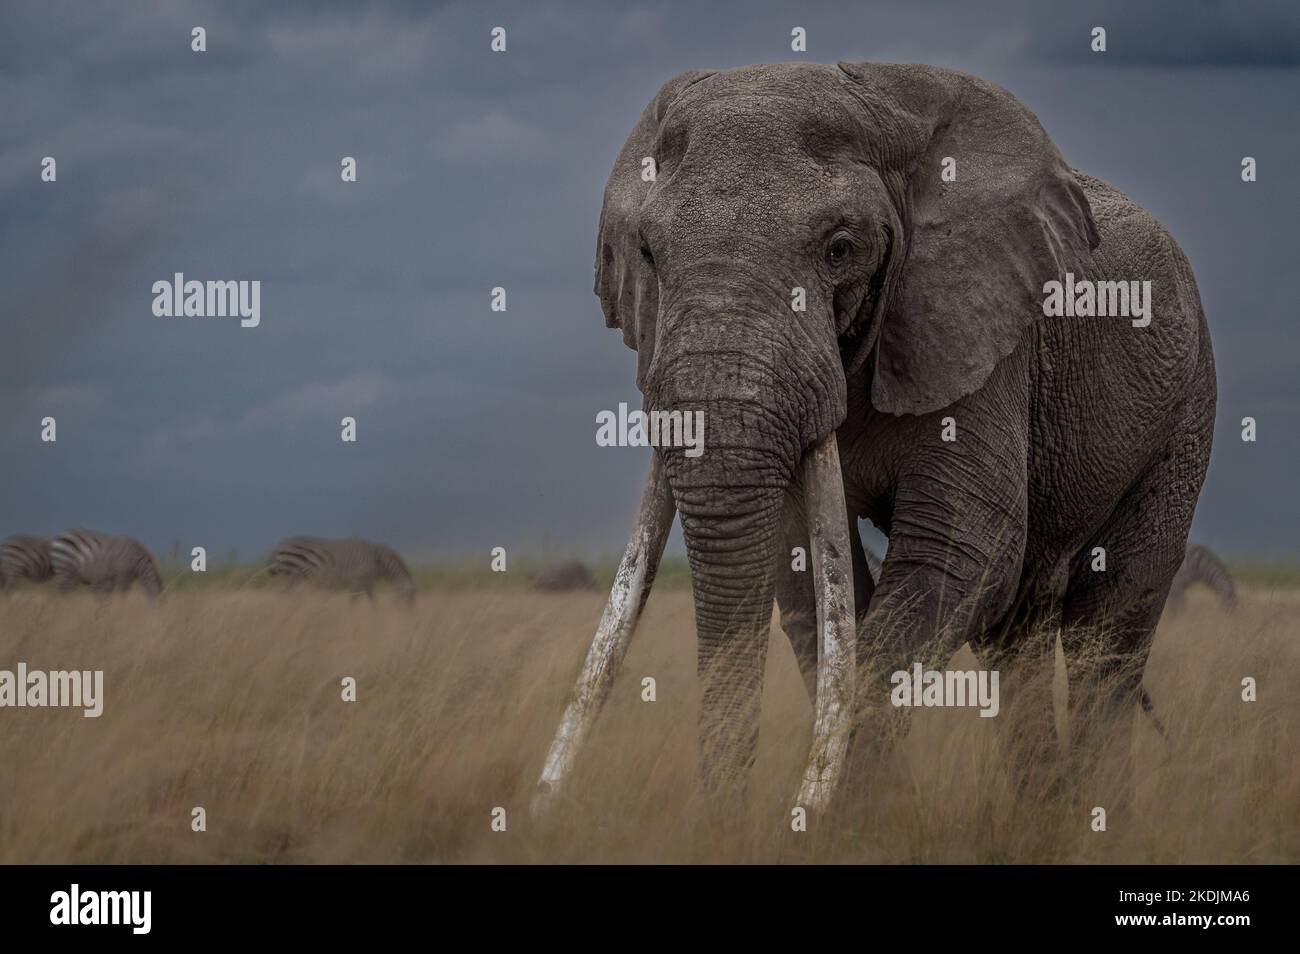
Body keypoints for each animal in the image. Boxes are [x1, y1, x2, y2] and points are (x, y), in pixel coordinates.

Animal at [267, 536, 416, 602]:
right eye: (410, 600)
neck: (377, 560)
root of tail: (279, 546)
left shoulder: (367, 582)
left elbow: (373, 601)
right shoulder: (359, 579)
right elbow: (354, 601)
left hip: (294, 578)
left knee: (287, 595)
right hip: (292, 575)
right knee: (285, 595)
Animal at [535, 62, 1215, 816]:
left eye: (841, 249)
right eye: (649, 254)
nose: (723, 820)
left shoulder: (984, 334)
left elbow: (959, 550)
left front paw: (836, 818)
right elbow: (813, 577)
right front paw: (868, 816)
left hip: (1186, 407)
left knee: (1112, 622)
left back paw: (1095, 819)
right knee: (1018, 634)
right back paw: (1038, 819)